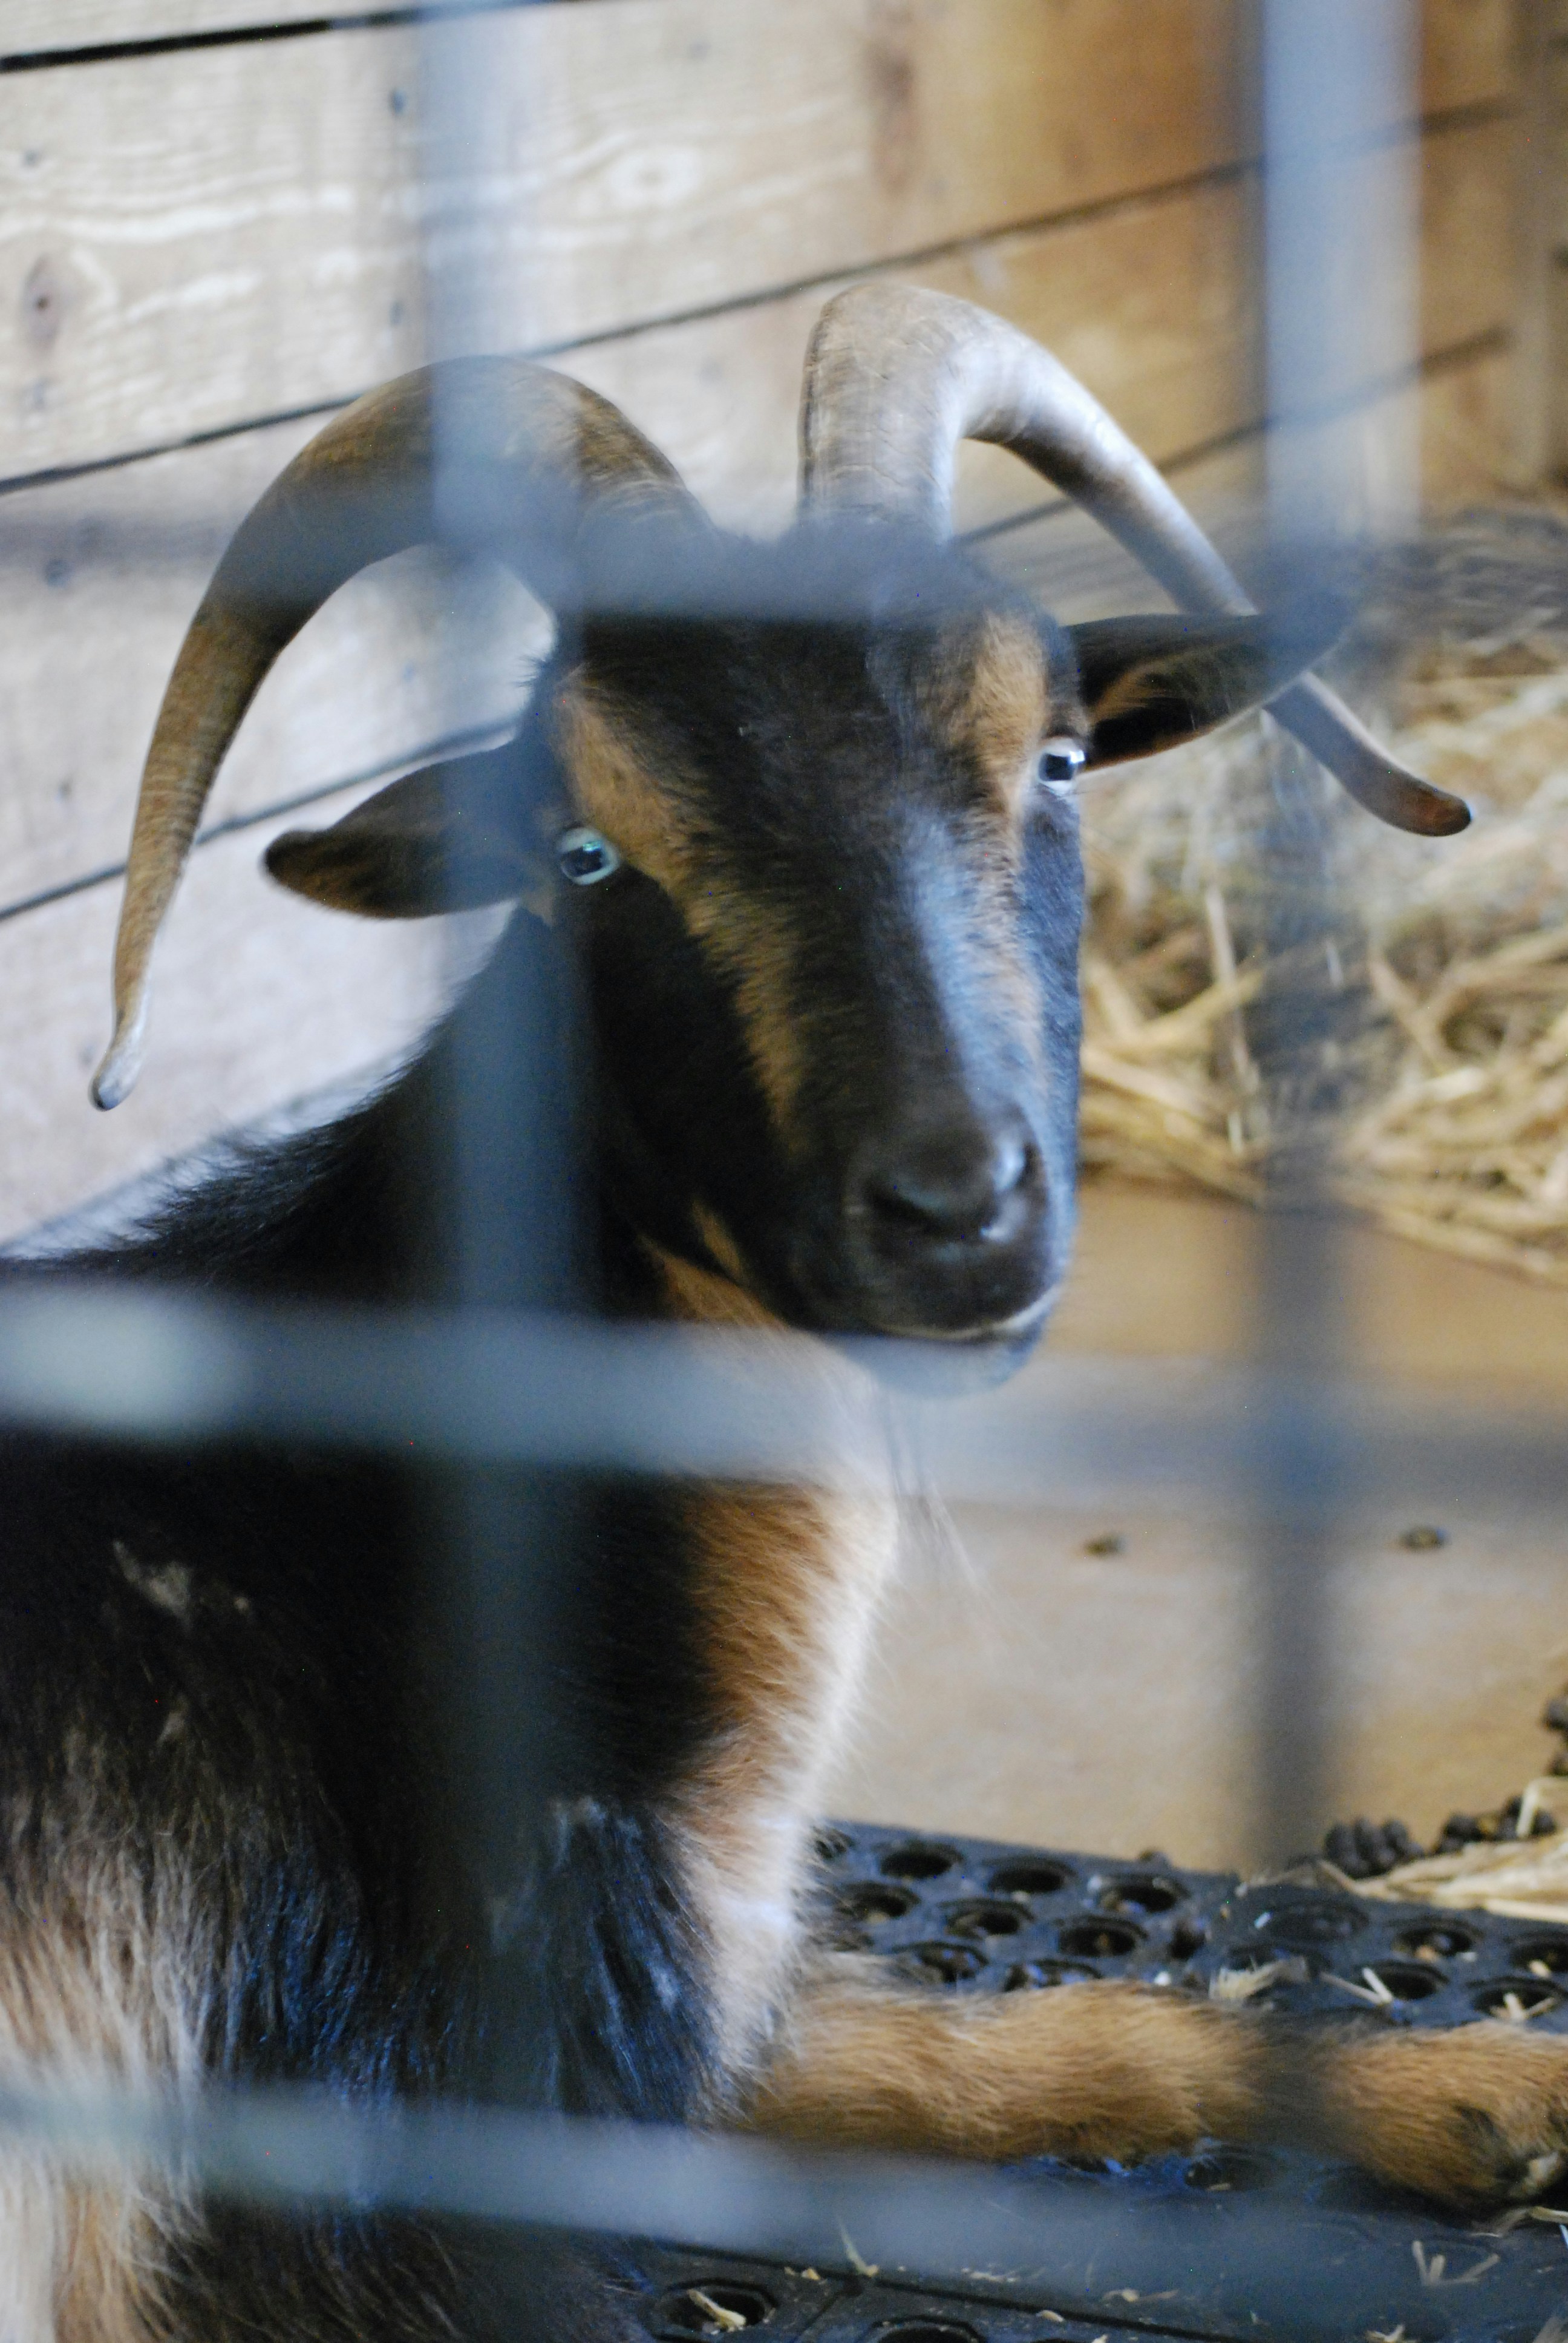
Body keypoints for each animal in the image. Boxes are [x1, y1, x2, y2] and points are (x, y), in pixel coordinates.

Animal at [1, 282, 1555, 2341]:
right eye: (586, 852)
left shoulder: (686, 2012)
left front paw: (1492, 2098)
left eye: (1059, 758)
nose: (957, 1209)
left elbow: (1013, 2038)